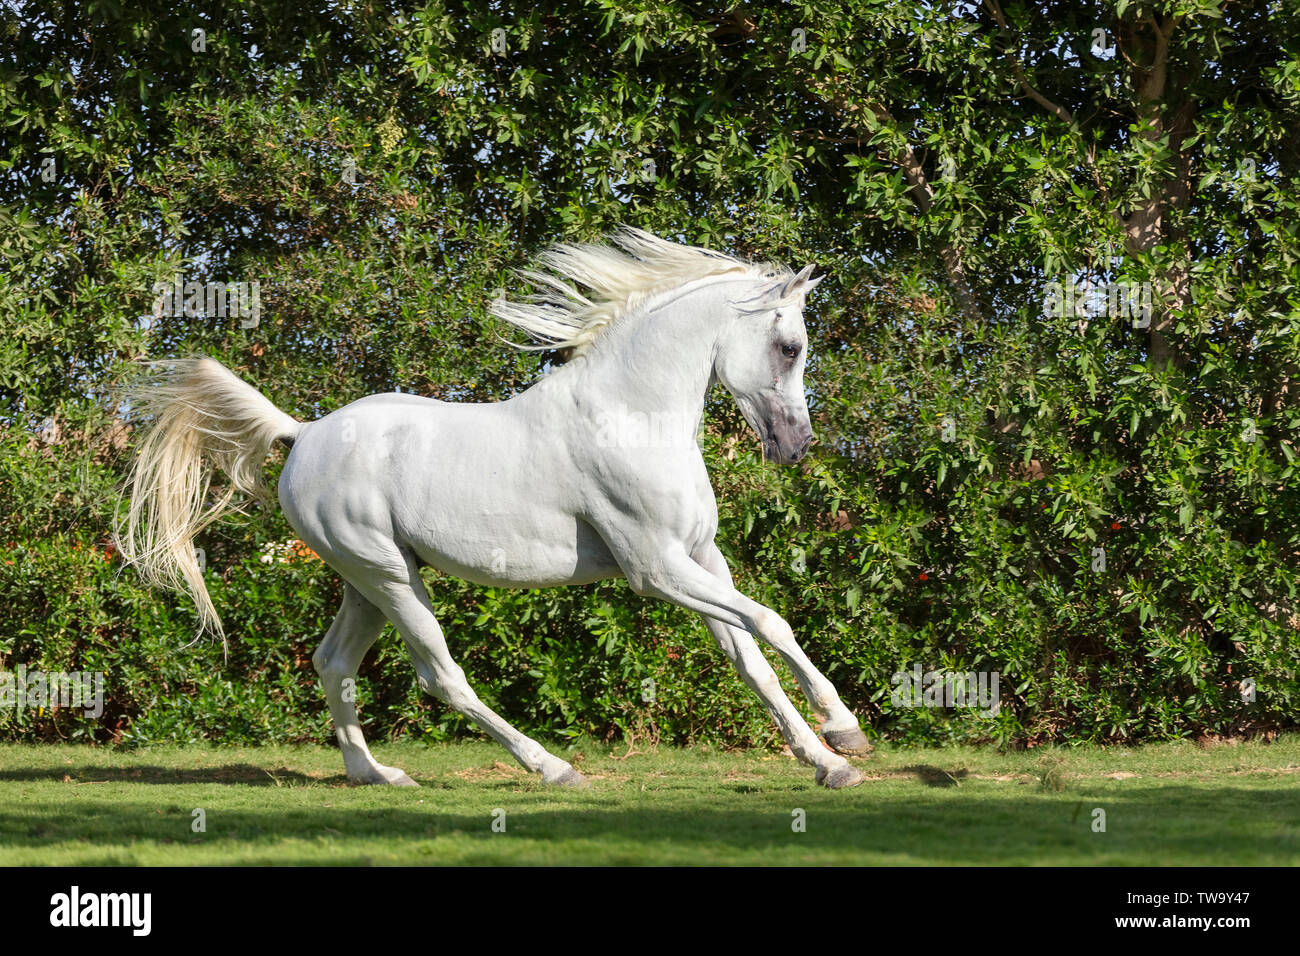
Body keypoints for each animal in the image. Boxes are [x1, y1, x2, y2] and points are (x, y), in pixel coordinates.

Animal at [115, 227, 871, 789]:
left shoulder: (700, 559)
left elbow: (752, 658)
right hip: (391, 577)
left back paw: (375, 775)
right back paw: (552, 768)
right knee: (442, 677)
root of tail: (302, 434)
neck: (630, 417)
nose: (796, 446)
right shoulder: (656, 569)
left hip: (367, 581)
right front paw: (845, 730)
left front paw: (827, 762)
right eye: (790, 347)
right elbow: (771, 623)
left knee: (332, 663)